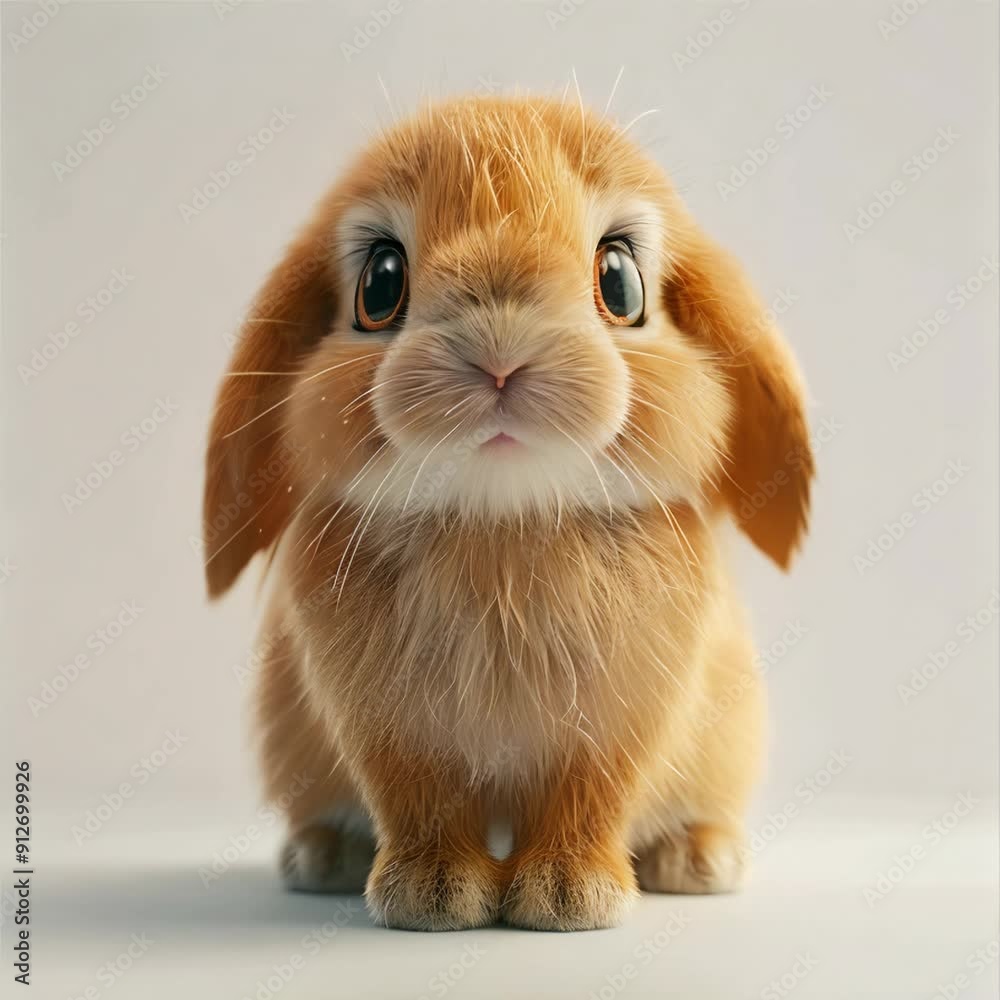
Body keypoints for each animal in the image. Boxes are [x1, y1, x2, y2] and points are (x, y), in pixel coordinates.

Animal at [203, 95, 813, 932]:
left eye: (620, 283)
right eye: (379, 286)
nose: (500, 347)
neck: (500, 529)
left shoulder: (611, 732)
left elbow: (587, 801)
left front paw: (567, 896)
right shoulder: (393, 735)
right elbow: (420, 802)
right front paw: (433, 896)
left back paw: (700, 859)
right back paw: (320, 859)